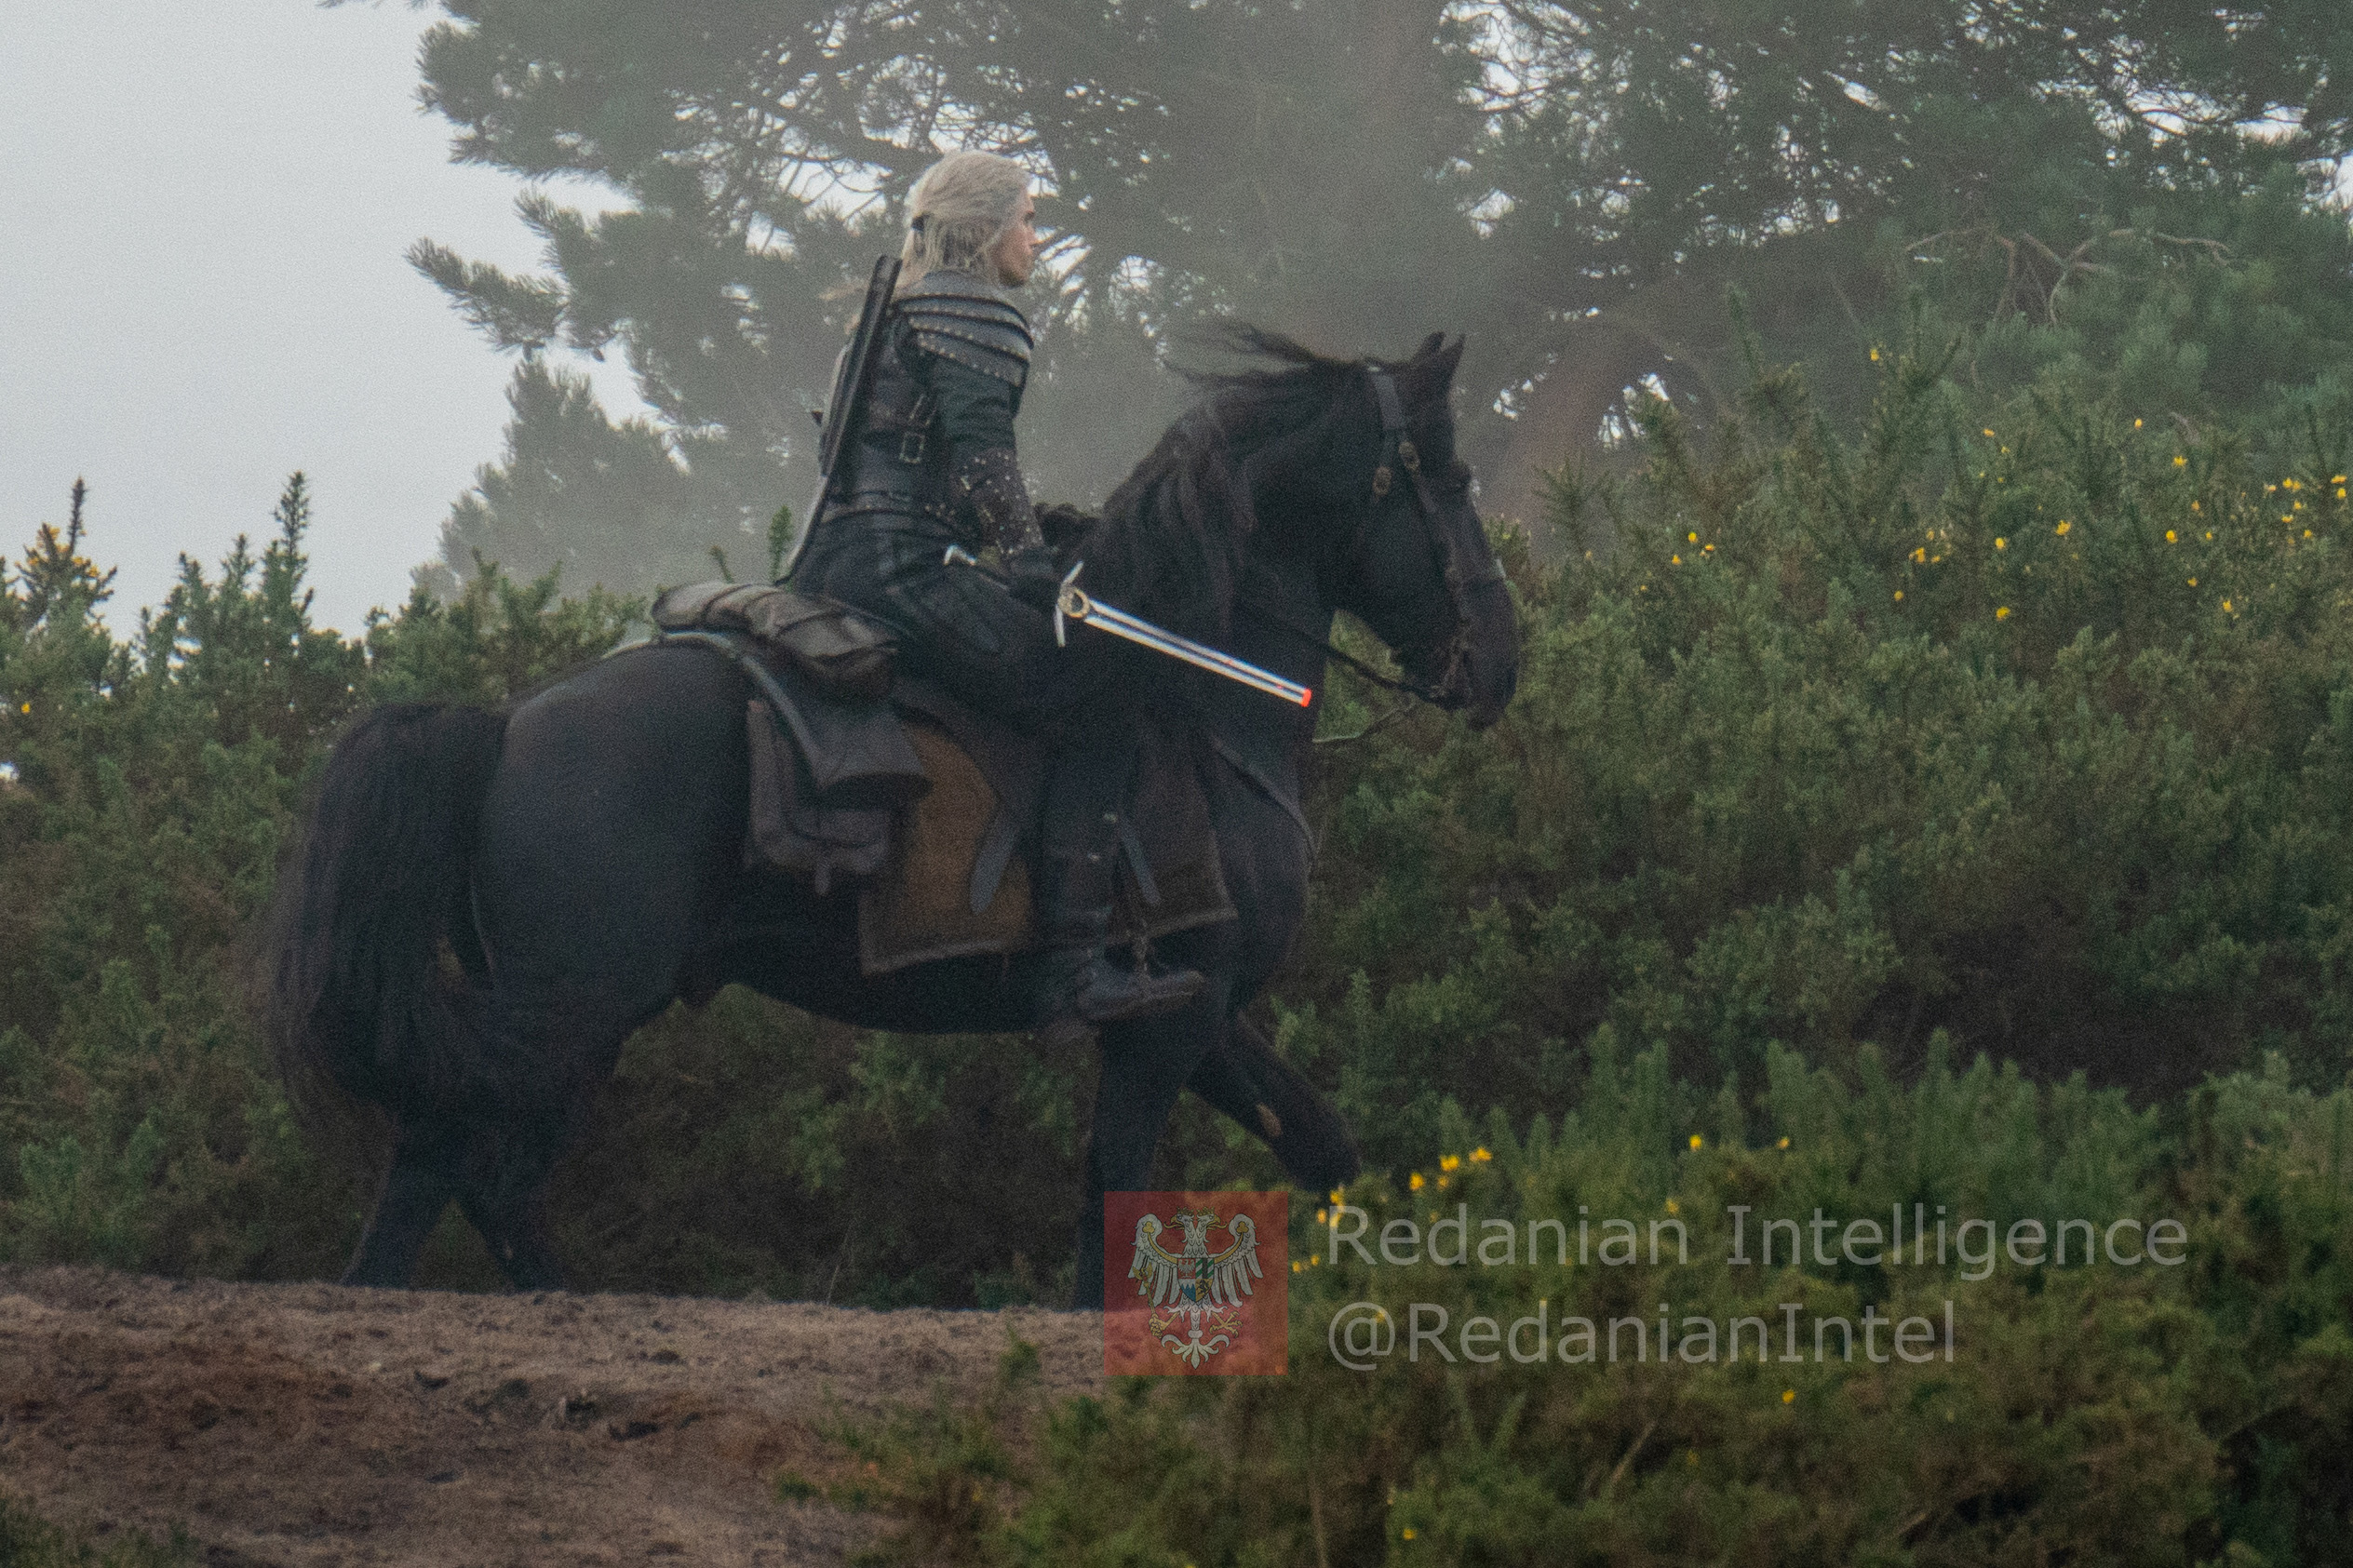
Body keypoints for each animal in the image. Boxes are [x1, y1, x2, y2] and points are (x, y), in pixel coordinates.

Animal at [262, 329, 1519, 1308]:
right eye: (1450, 479)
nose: (1500, 661)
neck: (1202, 704)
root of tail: (503, 725)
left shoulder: (1203, 1012)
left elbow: (1320, 1142)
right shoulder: (1172, 1018)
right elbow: (1110, 1196)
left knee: (431, 1168)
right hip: (571, 1011)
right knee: (476, 1171)